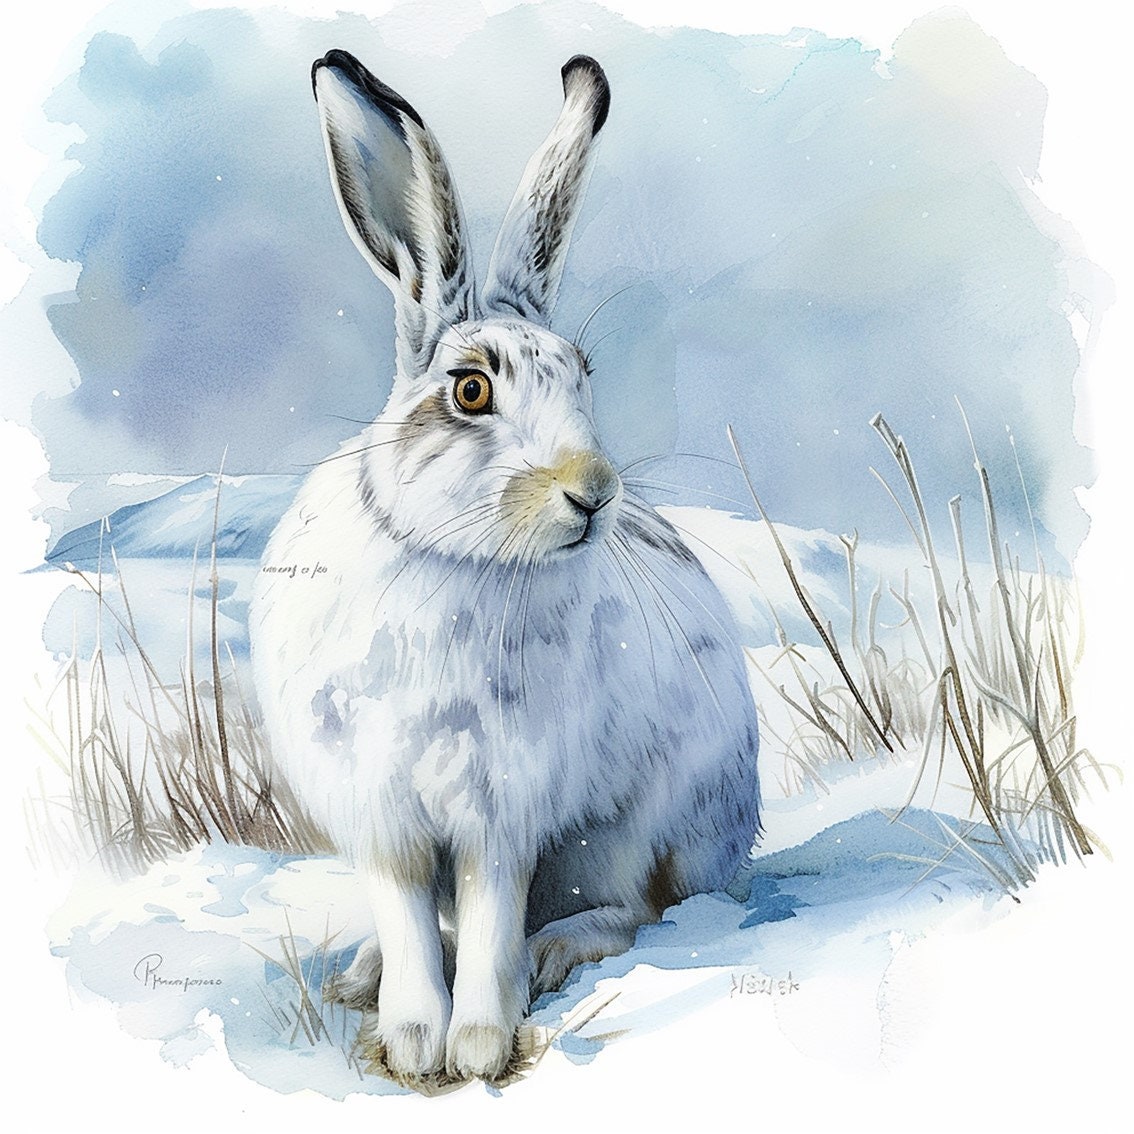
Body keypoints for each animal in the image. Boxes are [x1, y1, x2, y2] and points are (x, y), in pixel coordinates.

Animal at [249, 48, 760, 1083]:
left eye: (584, 375)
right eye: (472, 390)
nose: (593, 491)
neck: (455, 556)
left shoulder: (504, 810)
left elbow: (491, 912)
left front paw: (478, 1045)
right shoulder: (385, 813)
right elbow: (410, 911)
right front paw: (414, 1038)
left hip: (634, 837)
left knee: (638, 909)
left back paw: (554, 952)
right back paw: (363, 972)